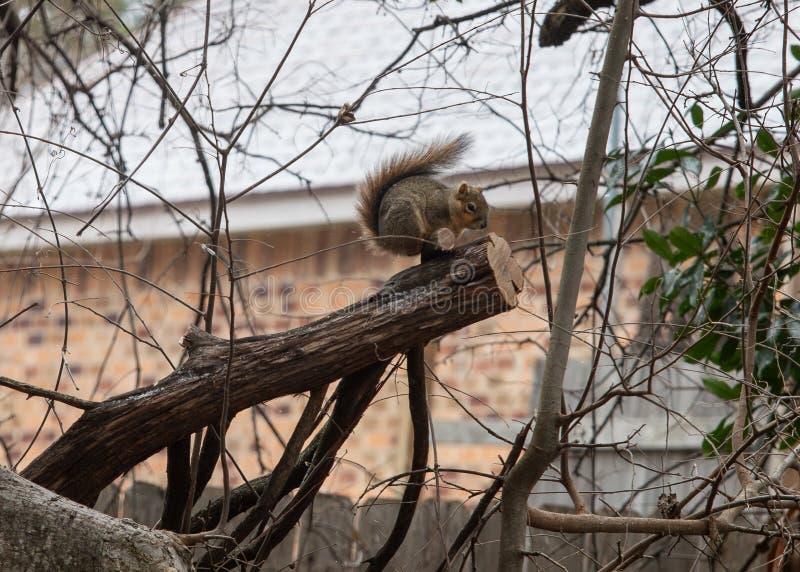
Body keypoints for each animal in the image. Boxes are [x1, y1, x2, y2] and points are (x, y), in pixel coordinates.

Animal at [356, 134, 488, 257]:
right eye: (470, 207)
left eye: (487, 206)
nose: (484, 225)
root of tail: (386, 241)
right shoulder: (434, 210)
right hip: (408, 219)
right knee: (412, 250)